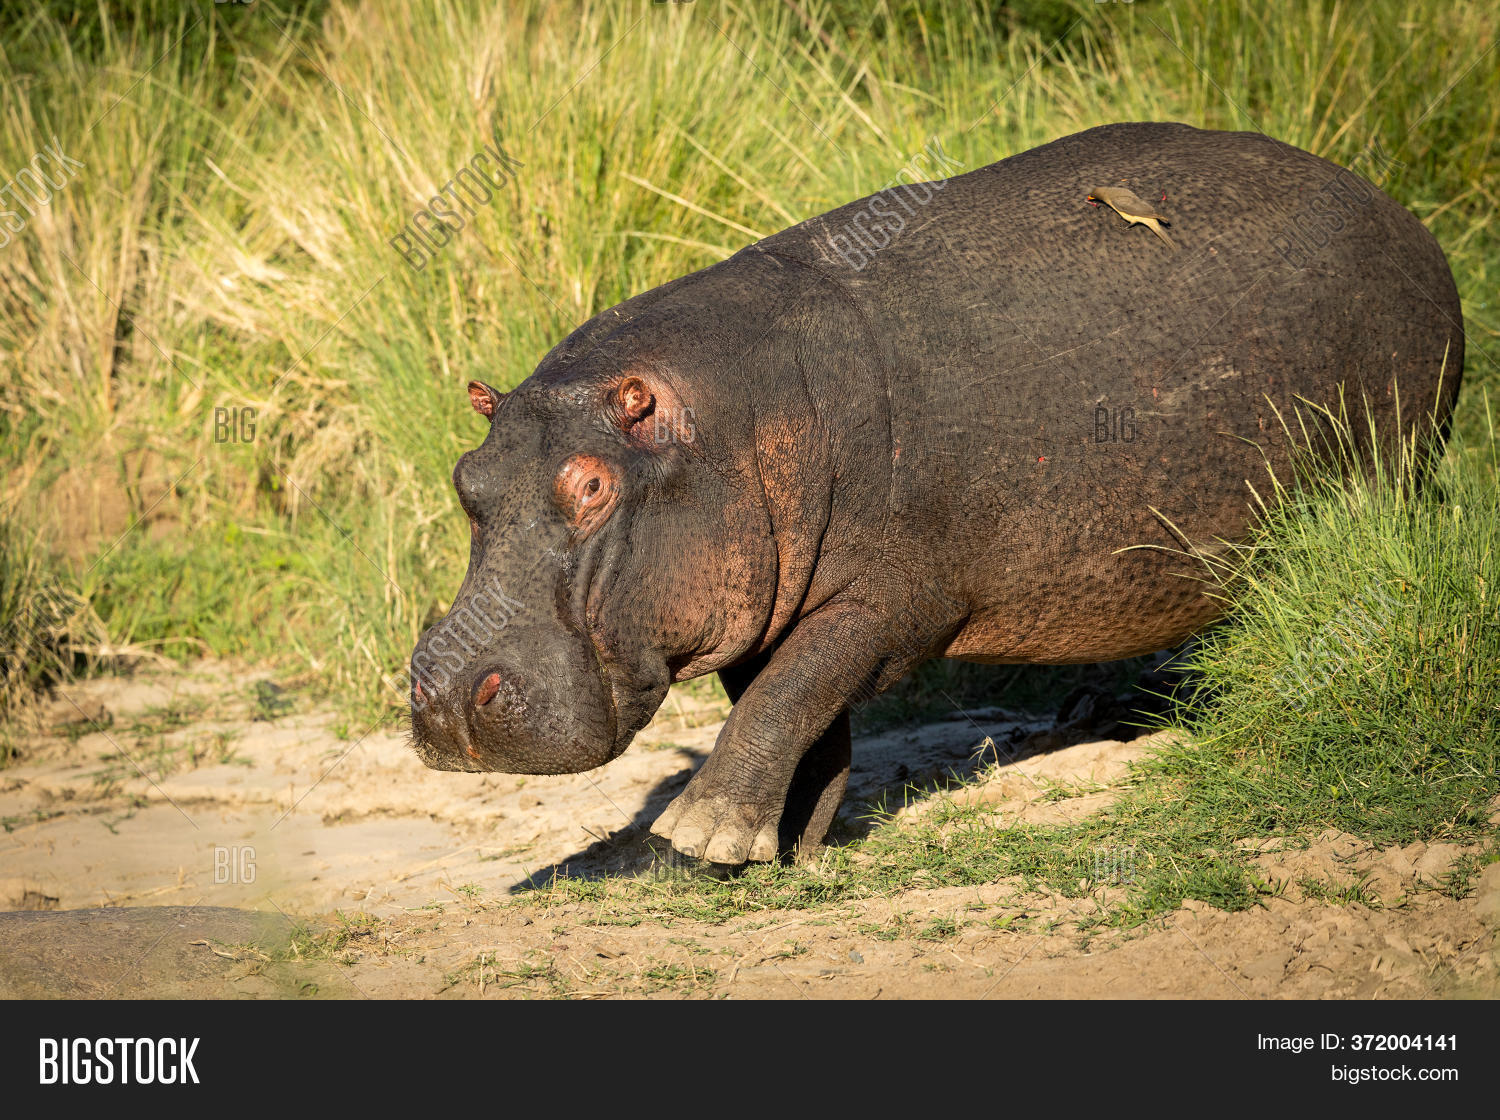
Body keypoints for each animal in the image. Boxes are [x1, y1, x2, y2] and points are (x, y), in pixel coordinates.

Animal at [408, 121, 1462, 865]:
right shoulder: (771, 595)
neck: (731, 419)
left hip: (1391, 470)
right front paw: (788, 844)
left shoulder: (893, 599)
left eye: (590, 482)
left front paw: (699, 835)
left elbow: (792, 692)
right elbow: (797, 708)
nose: (445, 694)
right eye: (466, 477)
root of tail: (1402, 215)